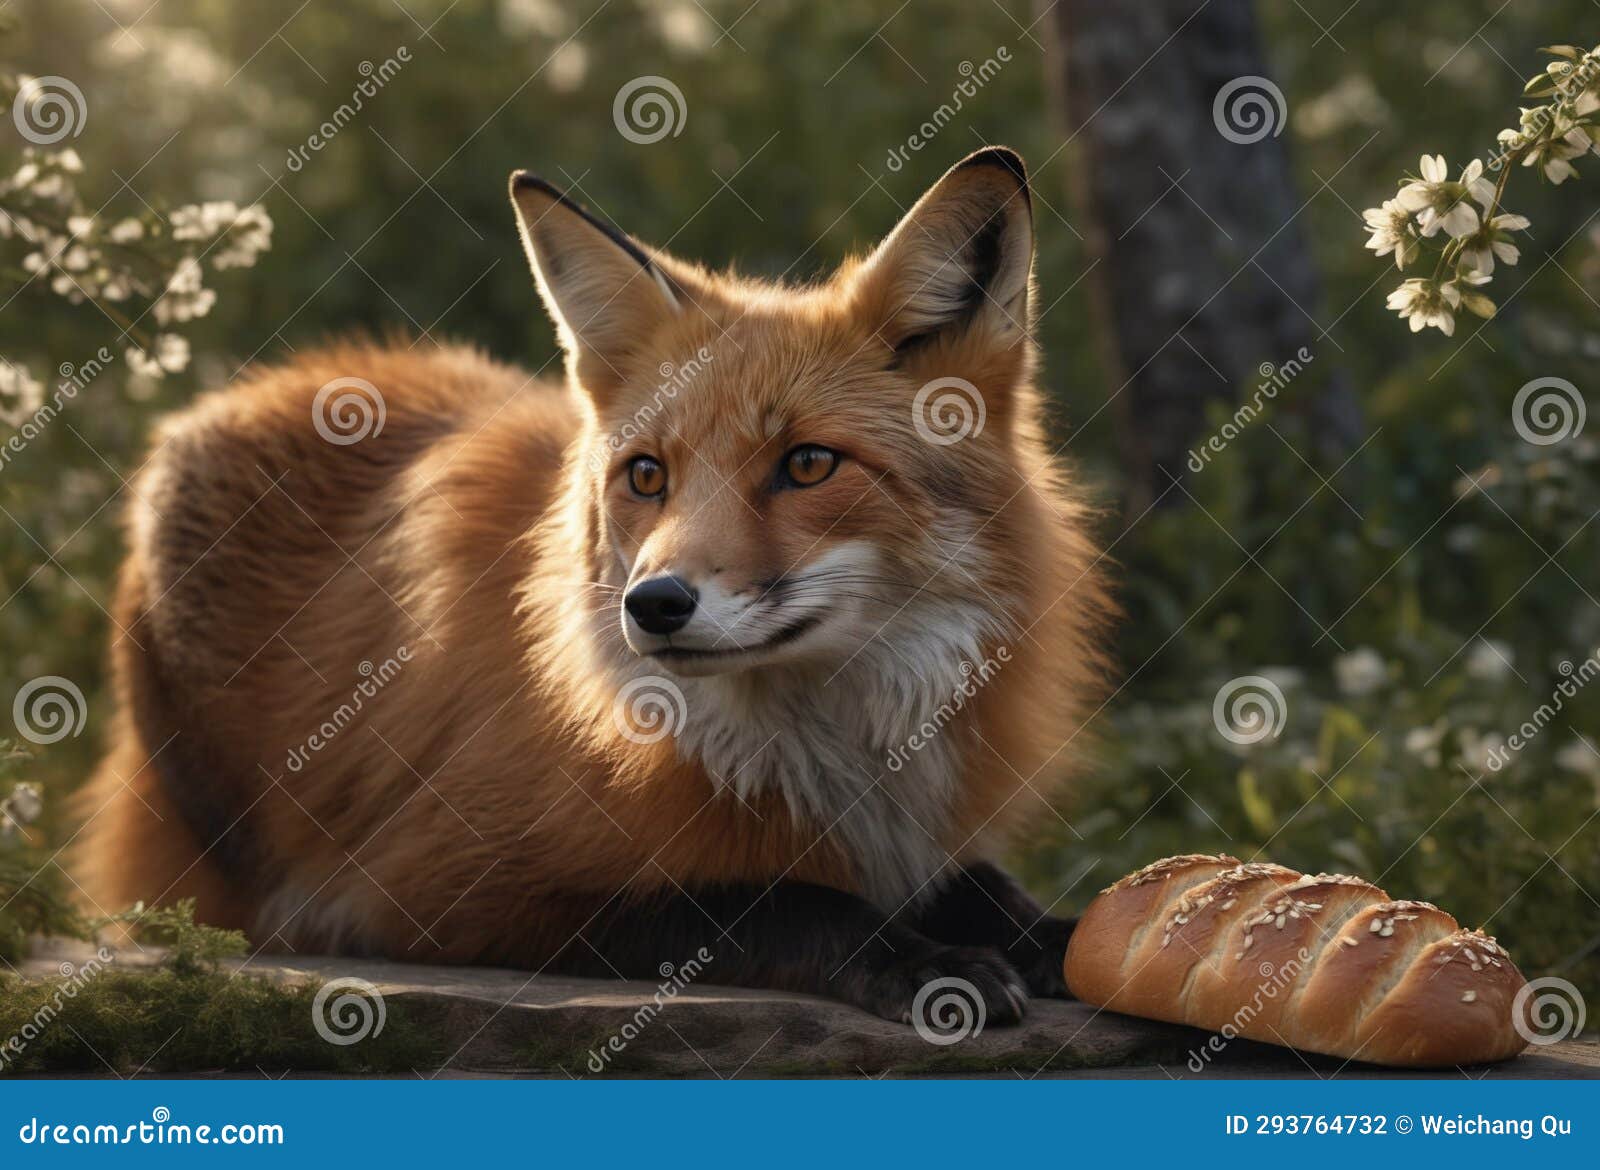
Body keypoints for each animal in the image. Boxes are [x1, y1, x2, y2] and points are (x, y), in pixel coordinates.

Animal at [76, 146, 1112, 1026]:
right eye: (647, 475)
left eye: (810, 464)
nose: (653, 605)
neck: (813, 752)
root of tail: (257, 387)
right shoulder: (421, 888)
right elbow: (772, 902)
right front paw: (920, 959)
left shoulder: (915, 836)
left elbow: (990, 890)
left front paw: (1068, 940)